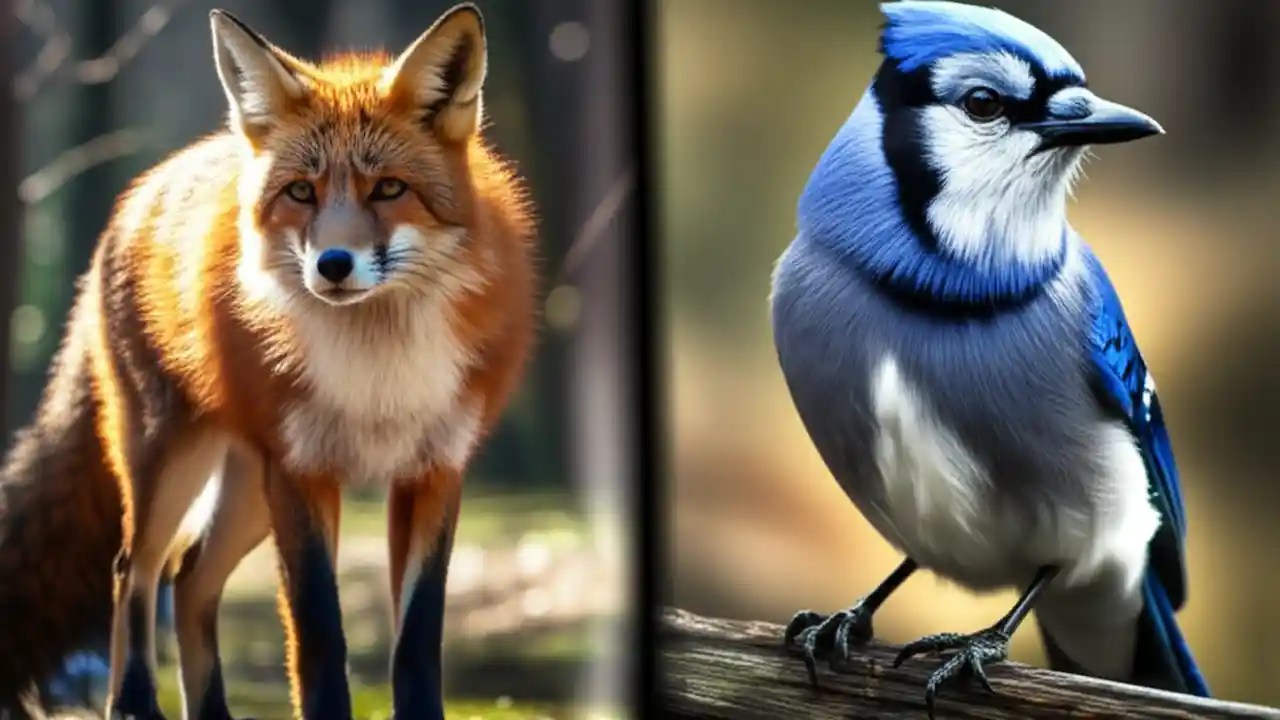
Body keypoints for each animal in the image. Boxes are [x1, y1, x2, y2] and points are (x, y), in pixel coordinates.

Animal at [0, 4, 535, 719]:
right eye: (302, 193)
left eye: (389, 189)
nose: (333, 265)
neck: (377, 373)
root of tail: (151, 181)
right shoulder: (302, 473)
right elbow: (319, 636)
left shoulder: (435, 471)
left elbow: (417, 642)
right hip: (169, 459)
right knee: (134, 570)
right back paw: (133, 701)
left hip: (247, 489)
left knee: (190, 576)